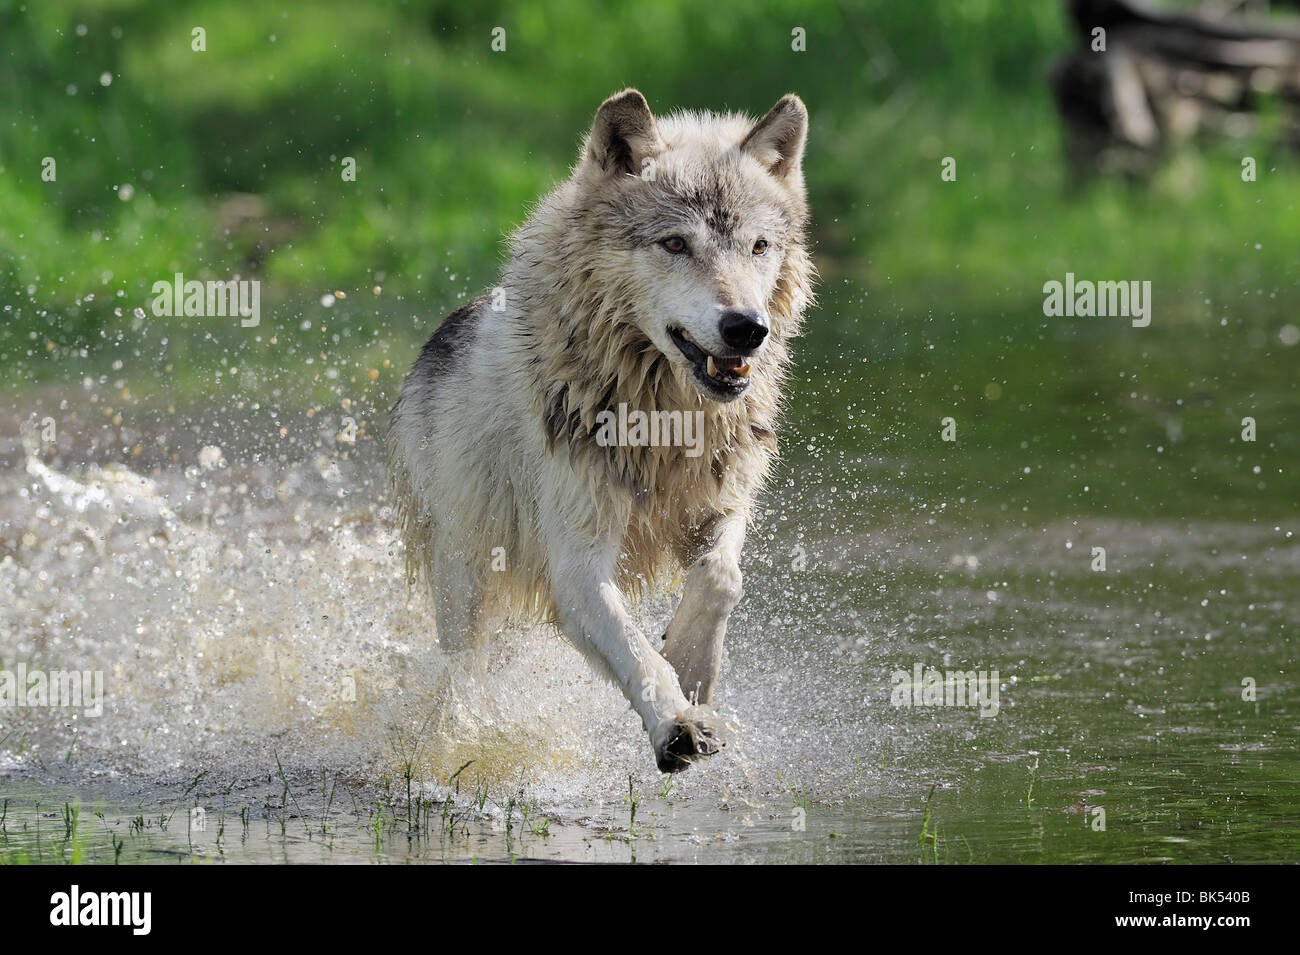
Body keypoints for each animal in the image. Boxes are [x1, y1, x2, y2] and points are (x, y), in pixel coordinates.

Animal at [389, 88, 814, 772]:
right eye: (675, 244)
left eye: (758, 246)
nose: (747, 328)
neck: (662, 418)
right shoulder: (577, 566)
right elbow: (634, 652)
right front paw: (677, 724)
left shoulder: (720, 504)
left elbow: (722, 580)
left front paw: (692, 668)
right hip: (467, 579)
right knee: (463, 674)